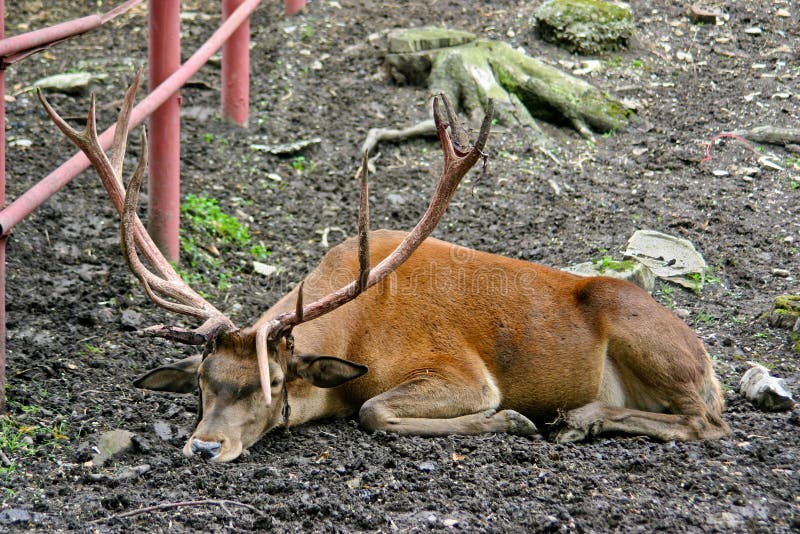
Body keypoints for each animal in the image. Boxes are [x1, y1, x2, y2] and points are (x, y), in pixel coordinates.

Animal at [39, 71, 729, 463]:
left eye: (272, 383)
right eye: (204, 382)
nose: (205, 445)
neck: (353, 342)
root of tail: (710, 362)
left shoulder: (461, 372)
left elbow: (377, 411)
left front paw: (512, 419)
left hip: (644, 333)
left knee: (709, 423)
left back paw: (579, 419)